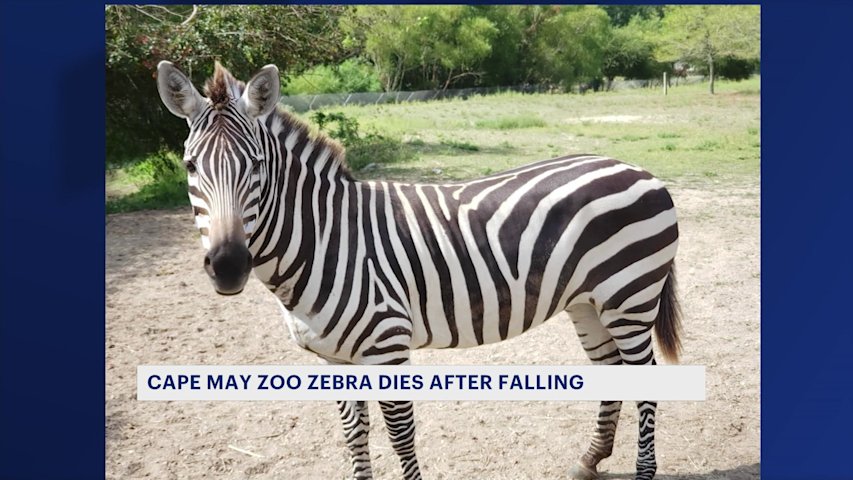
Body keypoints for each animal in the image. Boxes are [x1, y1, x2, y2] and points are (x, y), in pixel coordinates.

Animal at [156, 61, 682, 480]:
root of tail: (638, 169)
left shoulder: (387, 346)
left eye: (257, 166)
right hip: (587, 301)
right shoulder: (334, 359)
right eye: (190, 166)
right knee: (610, 370)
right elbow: (354, 432)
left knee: (644, 376)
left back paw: (642, 472)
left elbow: (400, 433)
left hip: (630, 297)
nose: (228, 266)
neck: (325, 236)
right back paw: (589, 460)